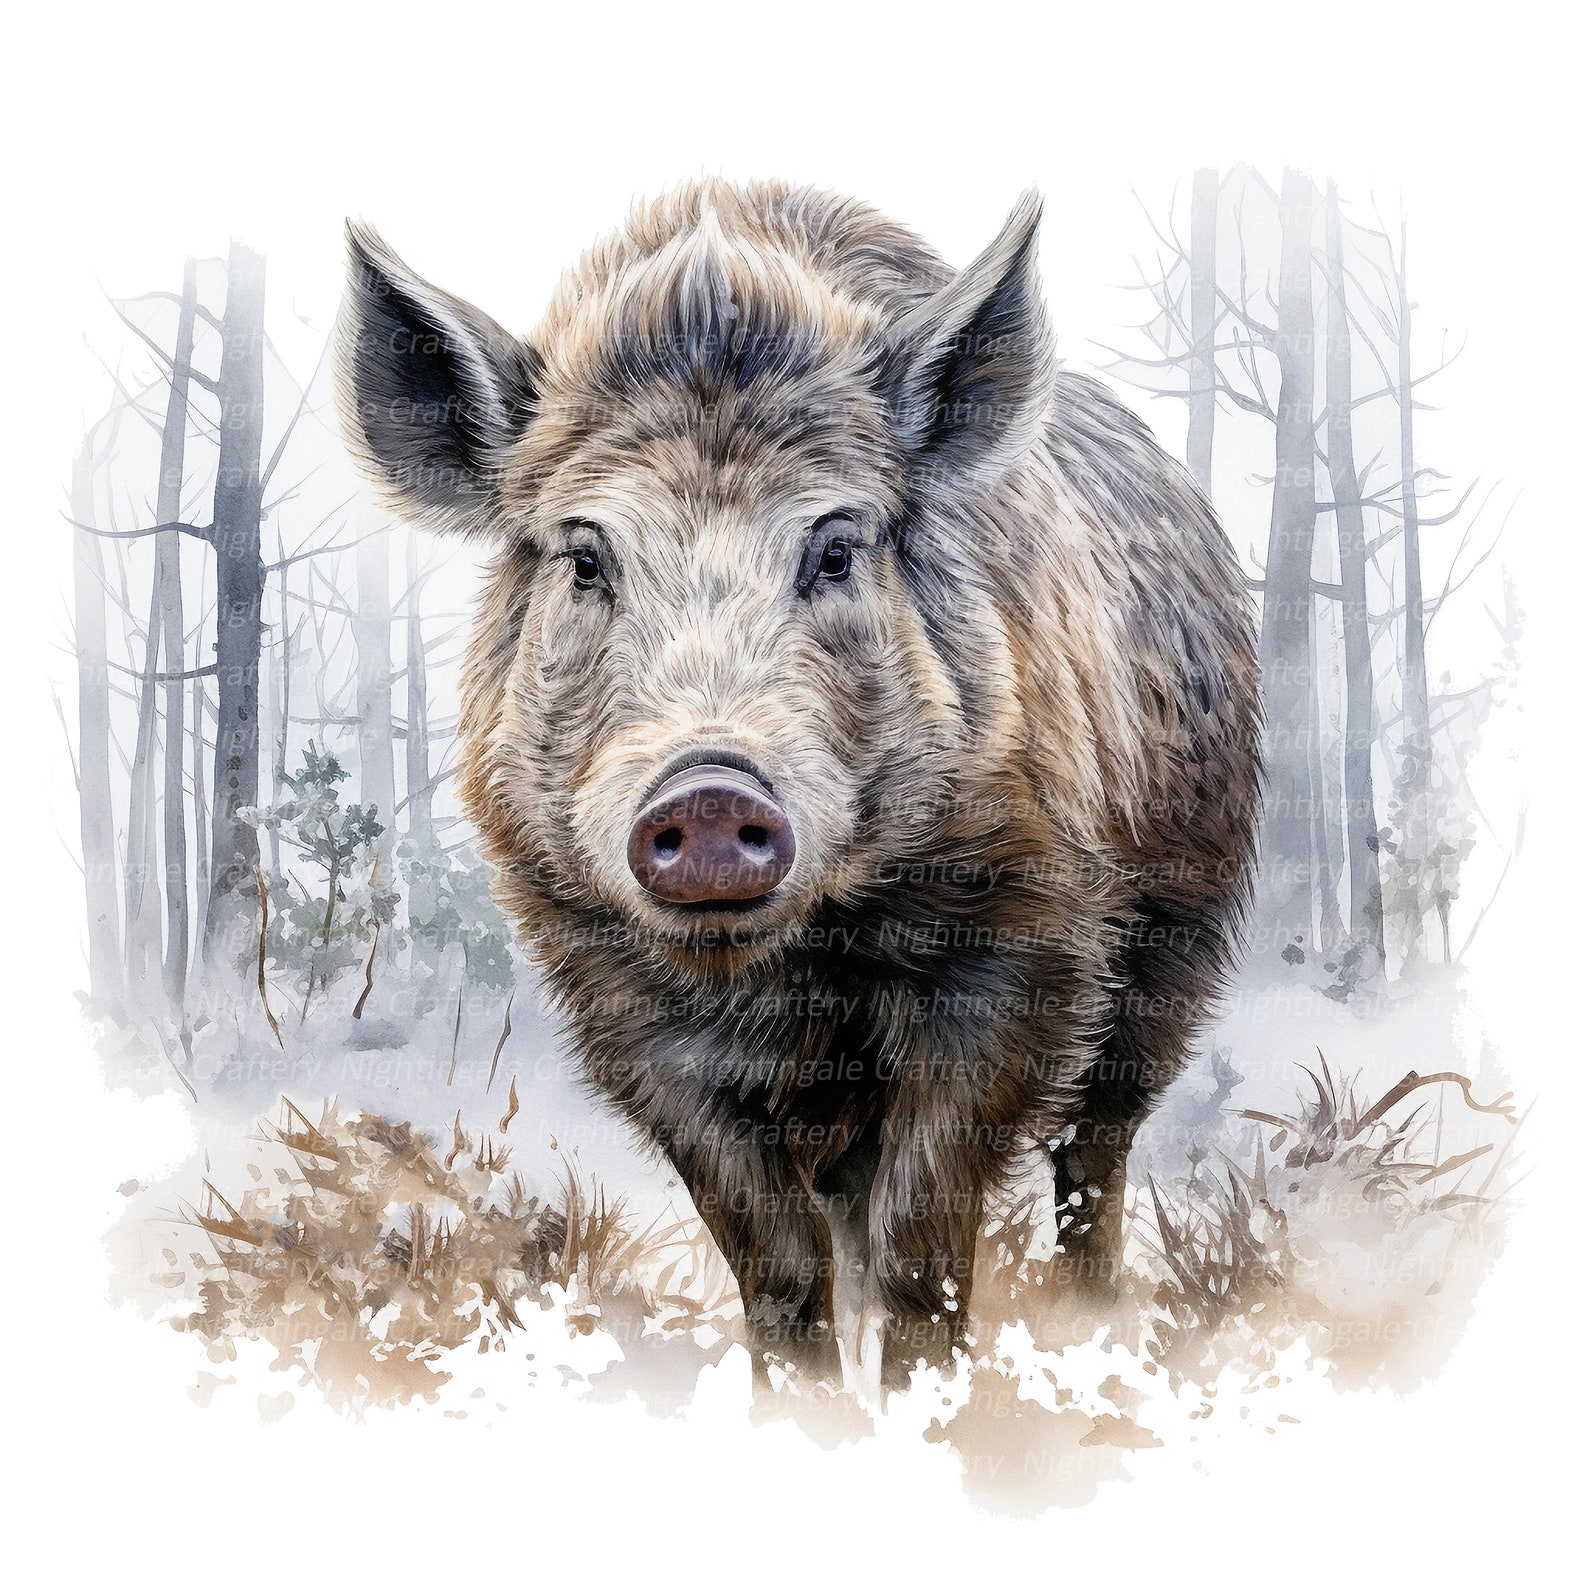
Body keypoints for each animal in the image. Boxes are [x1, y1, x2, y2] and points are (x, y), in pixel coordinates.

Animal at [334, 179, 1261, 1394]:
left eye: (832, 550)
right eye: (586, 559)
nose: (709, 791)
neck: (798, 965)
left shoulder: (1031, 944)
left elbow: (927, 1241)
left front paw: (927, 1399)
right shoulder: (616, 1000)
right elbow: (772, 1255)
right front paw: (806, 1405)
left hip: (1182, 930)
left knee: (1094, 1152)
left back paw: (1092, 1319)